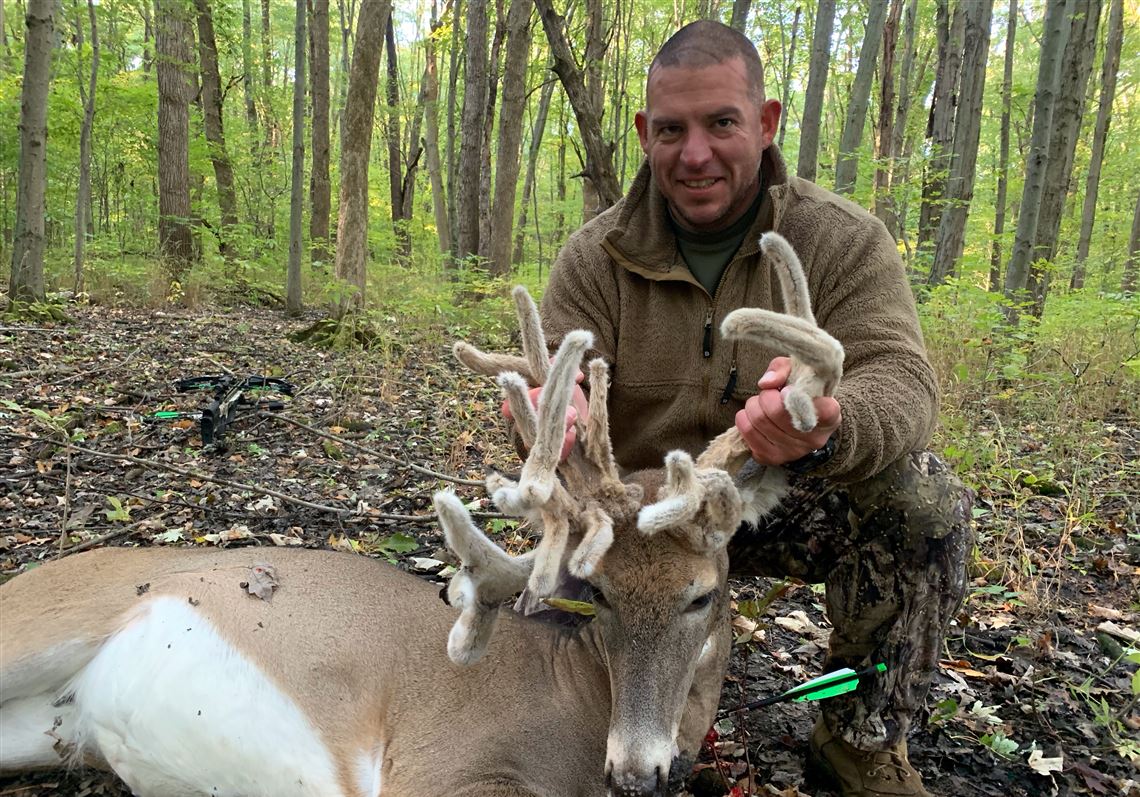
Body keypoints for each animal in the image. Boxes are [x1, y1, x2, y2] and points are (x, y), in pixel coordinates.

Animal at [0, 231, 842, 797]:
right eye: (597, 593)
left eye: (703, 594)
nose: (636, 772)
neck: (577, 708)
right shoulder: (443, 763)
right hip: (40, 621)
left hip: (48, 725)